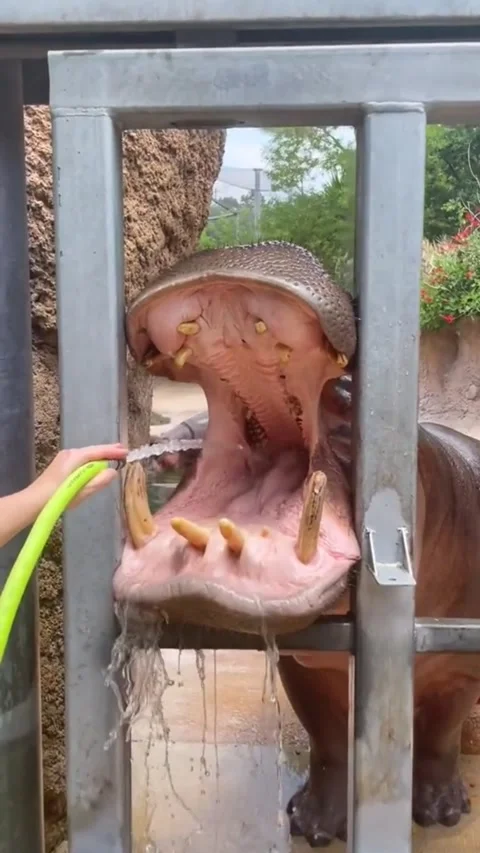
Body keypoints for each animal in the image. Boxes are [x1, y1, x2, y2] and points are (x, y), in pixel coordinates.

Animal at [114, 242, 480, 846]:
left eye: (350, 399)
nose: (242, 248)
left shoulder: (458, 663)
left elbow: (439, 733)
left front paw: (443, 811)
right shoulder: (305, 664)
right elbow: (327, 738)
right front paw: (313, 825)